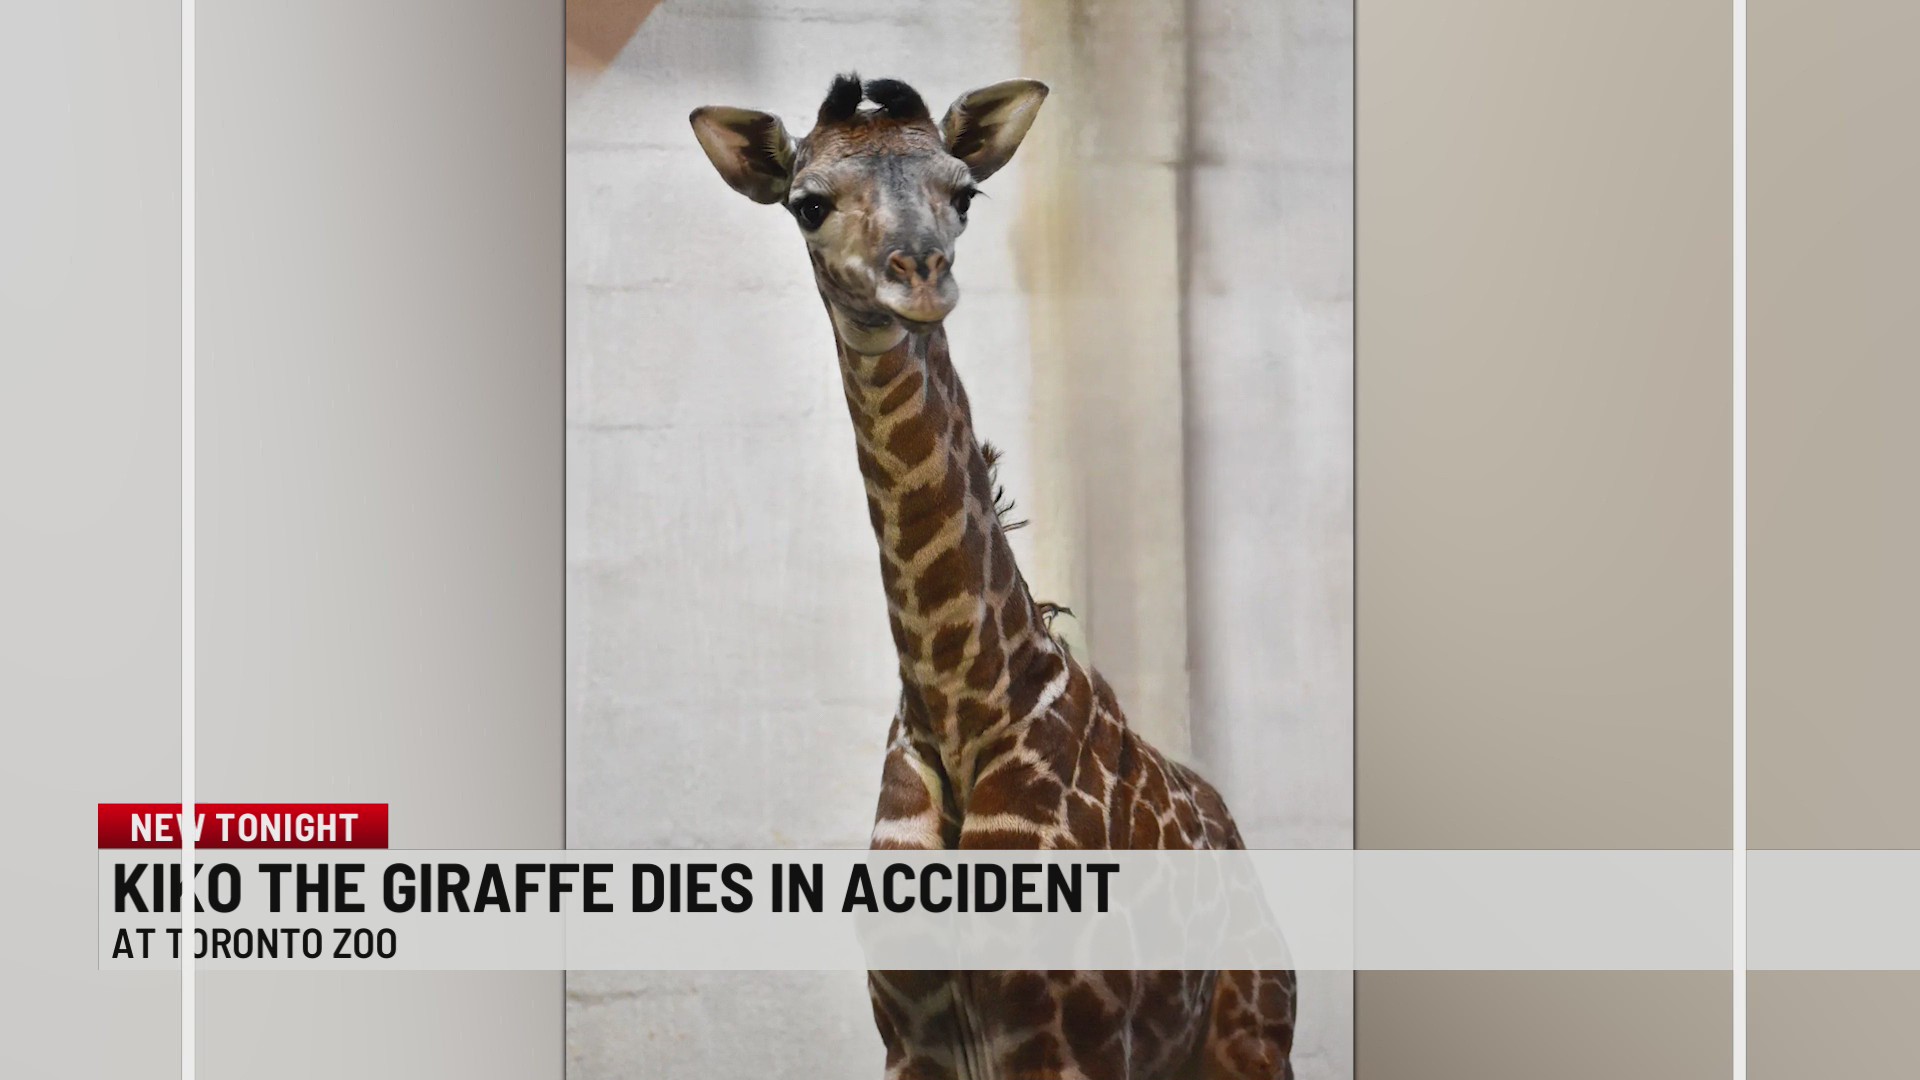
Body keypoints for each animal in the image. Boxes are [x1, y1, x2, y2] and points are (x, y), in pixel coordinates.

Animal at [691, 74, 1296, 1080]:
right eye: (808, 204)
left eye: (963, 193)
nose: (921, 276)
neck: (960, 712)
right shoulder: (913, 1039)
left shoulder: (1068, 1040)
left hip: (1249, 1034)